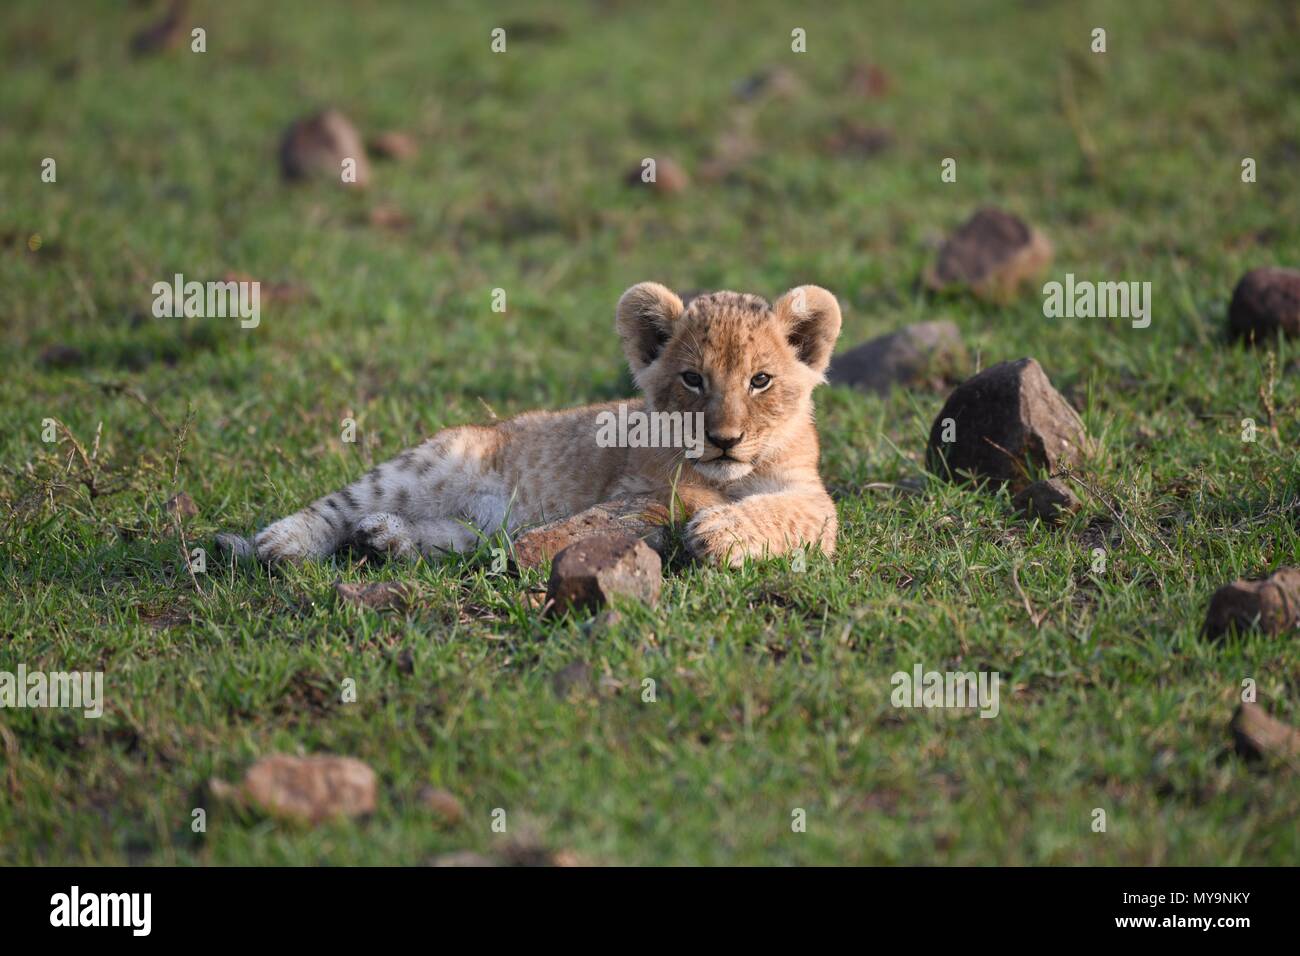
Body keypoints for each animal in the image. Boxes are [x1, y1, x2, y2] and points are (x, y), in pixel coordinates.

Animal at [242, 282, 841, 568]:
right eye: (692, 379)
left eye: (760, 380)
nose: (724, 440)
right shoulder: (633, 487)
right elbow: (673, 496)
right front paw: (709, 518)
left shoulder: (812, 496)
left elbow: (786, 512)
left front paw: (720, 533)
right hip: (428, 464)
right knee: (339, 504)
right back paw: (283, 542)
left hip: (471, 529)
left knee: (457, 541)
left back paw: (387, 539)